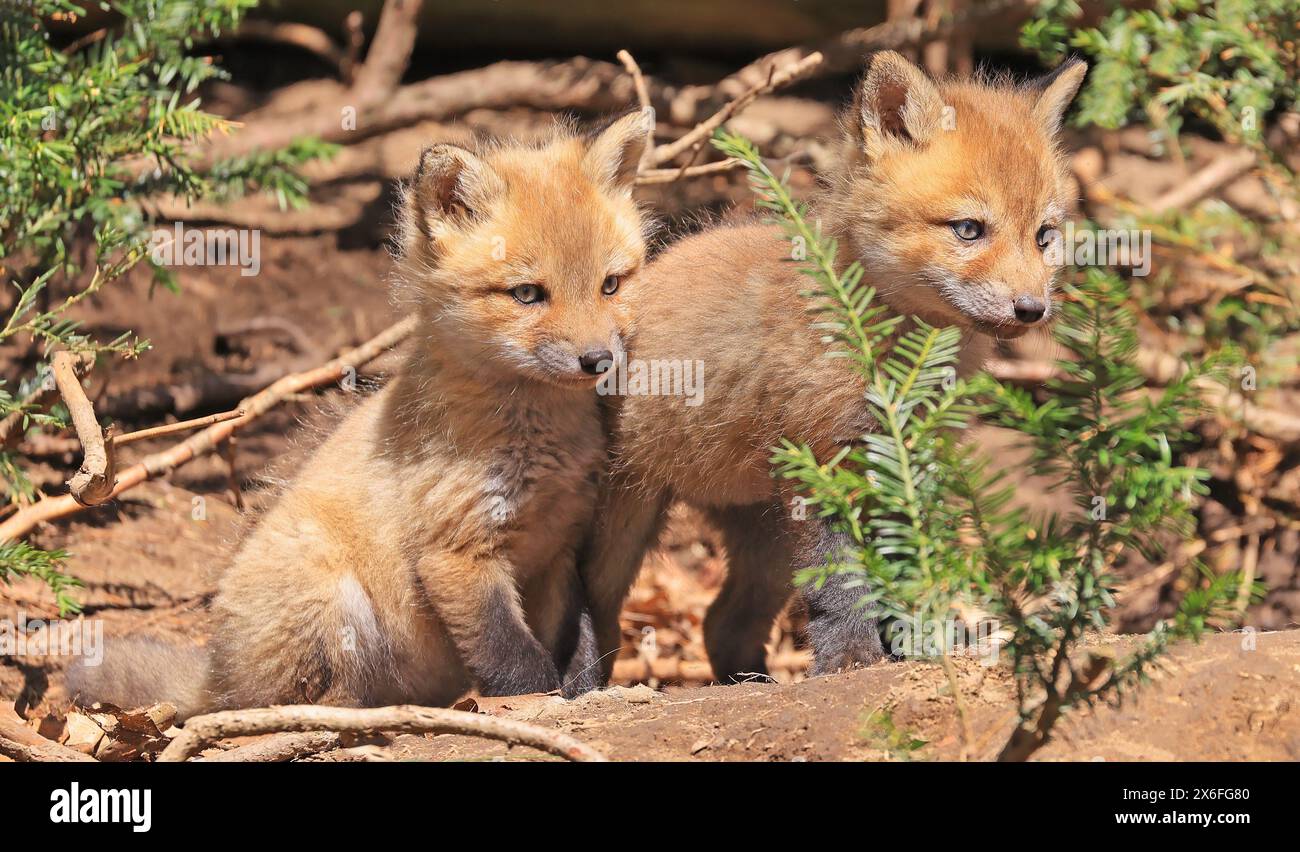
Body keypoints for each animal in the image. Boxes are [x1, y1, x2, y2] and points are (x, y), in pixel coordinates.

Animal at [70, 111, 653, 717]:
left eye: (611, 284)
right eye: (527, 294)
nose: (599, 360)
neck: (535, 439)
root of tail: (217, 671)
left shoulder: (559, 547)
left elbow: (579, 639)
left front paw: (587, 692)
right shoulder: (456, 553)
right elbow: (513, 659)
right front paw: (537, 705)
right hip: (334, 600)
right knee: (295, 700)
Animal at [579, 51, 1088, 684]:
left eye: (1044, 236)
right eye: (969, 229)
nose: (1032, 309)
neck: (897, 356)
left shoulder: (905, 459)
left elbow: (902, 563)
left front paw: (914, 639)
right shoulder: (827, 458)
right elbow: (843, 579)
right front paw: (851, 657)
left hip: (766, 538)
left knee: (722, 624)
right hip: (623, 525)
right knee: (590, 614)